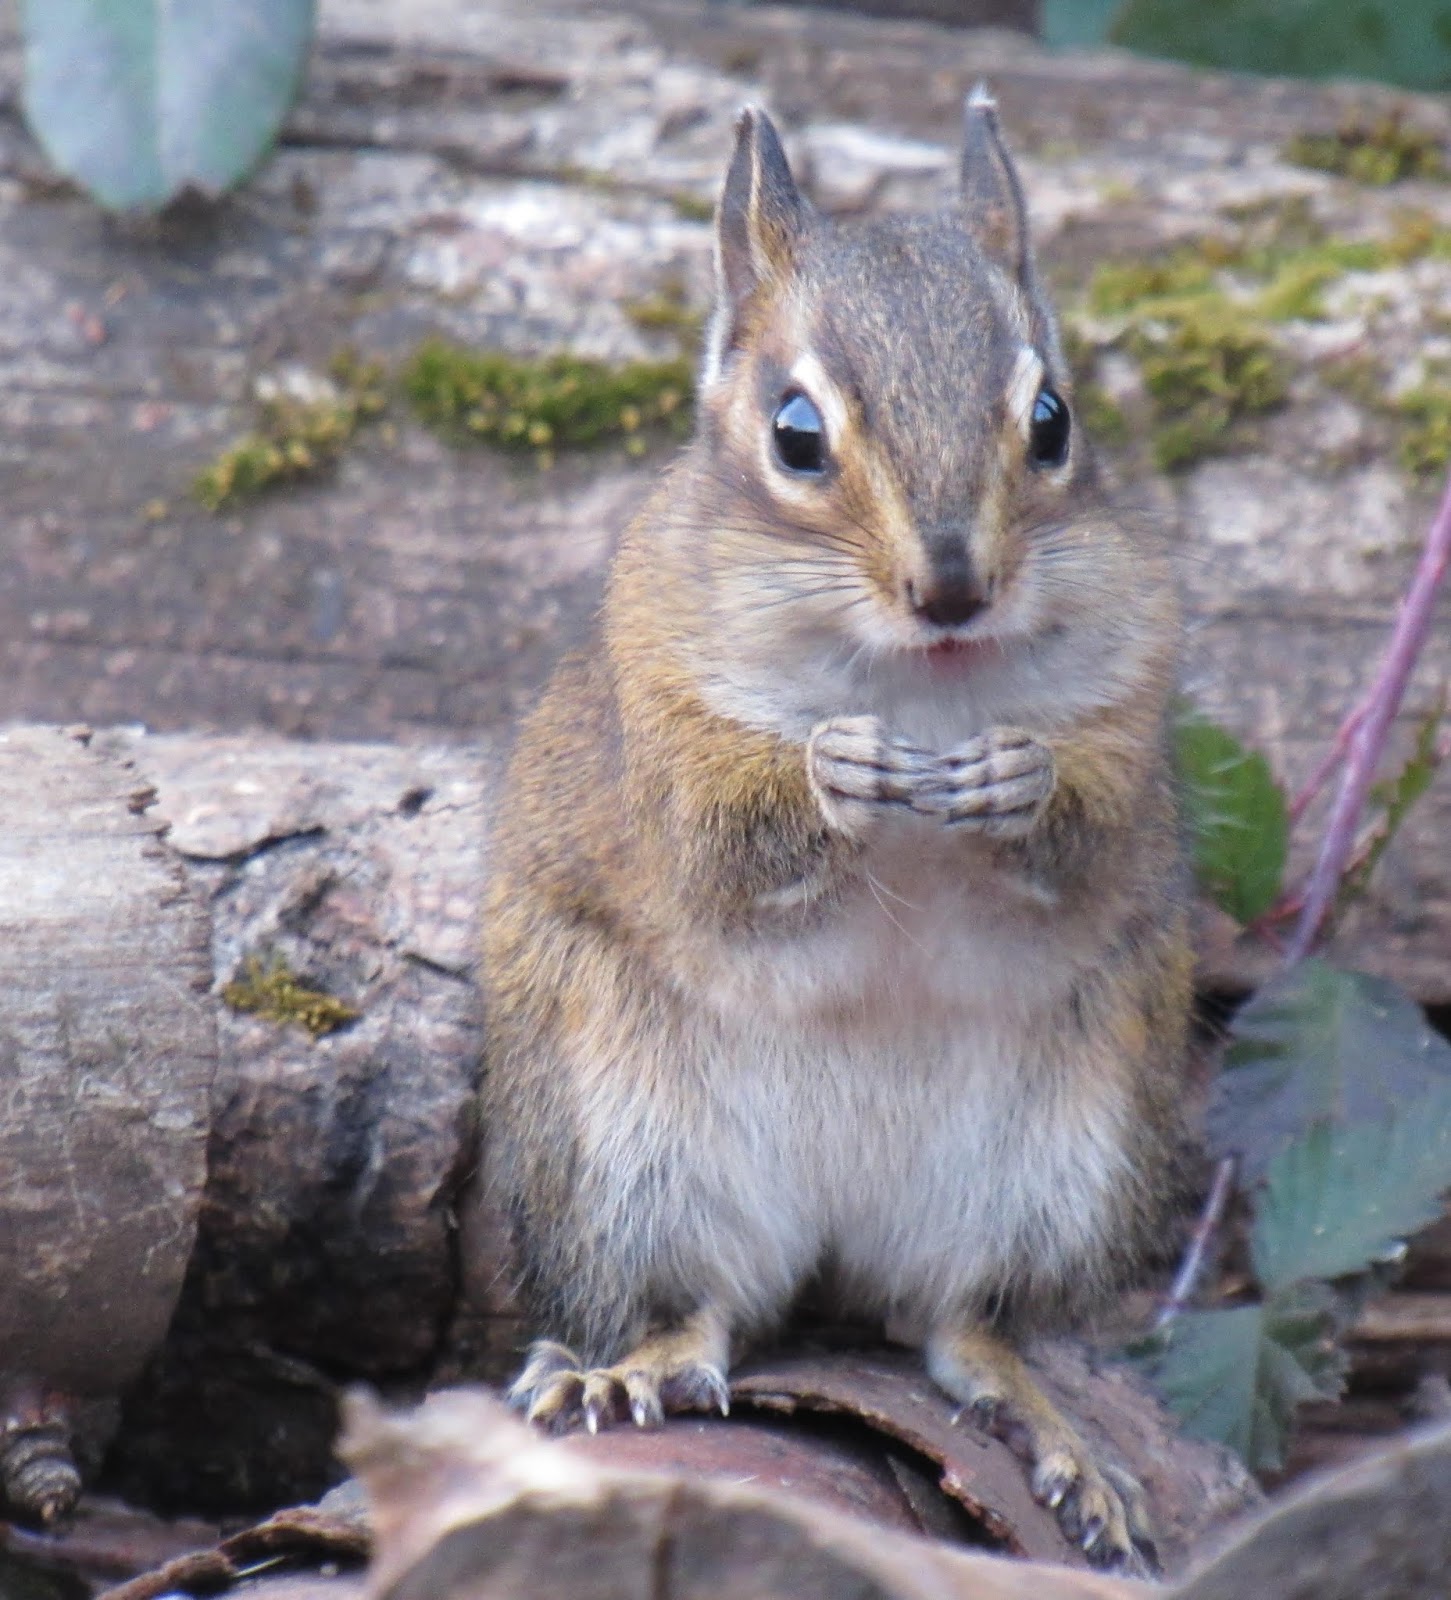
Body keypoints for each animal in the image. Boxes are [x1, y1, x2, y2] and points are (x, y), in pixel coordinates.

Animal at [478, 90, 1193, 1573]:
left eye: (1051, 419)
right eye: (795, 435)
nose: (952, 585)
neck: (918, 677)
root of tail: (834, 1242)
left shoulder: (1132, 691)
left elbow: (1092, 824)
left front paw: (1014, 775)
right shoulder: (664, 724)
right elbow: (719, 842)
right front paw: (833, 771)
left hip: (1063, 1157)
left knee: (962, 1319)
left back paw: (1061, 1432)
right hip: (622, 1152)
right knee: (701, 1308)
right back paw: (623, 1367)